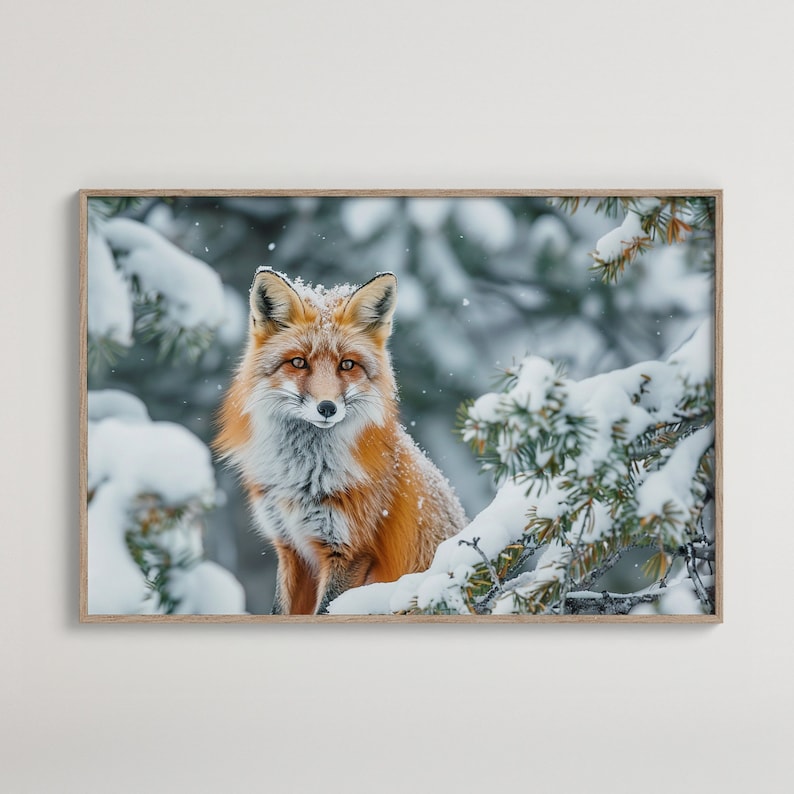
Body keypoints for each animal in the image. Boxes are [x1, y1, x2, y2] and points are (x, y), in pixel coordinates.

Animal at [214, 267, 467, 615]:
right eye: (298, 362)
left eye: (347, 364)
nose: (327, 407)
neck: (303, 478)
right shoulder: (290, 546)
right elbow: (281, 610)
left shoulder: (349, 552)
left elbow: (326, 611)